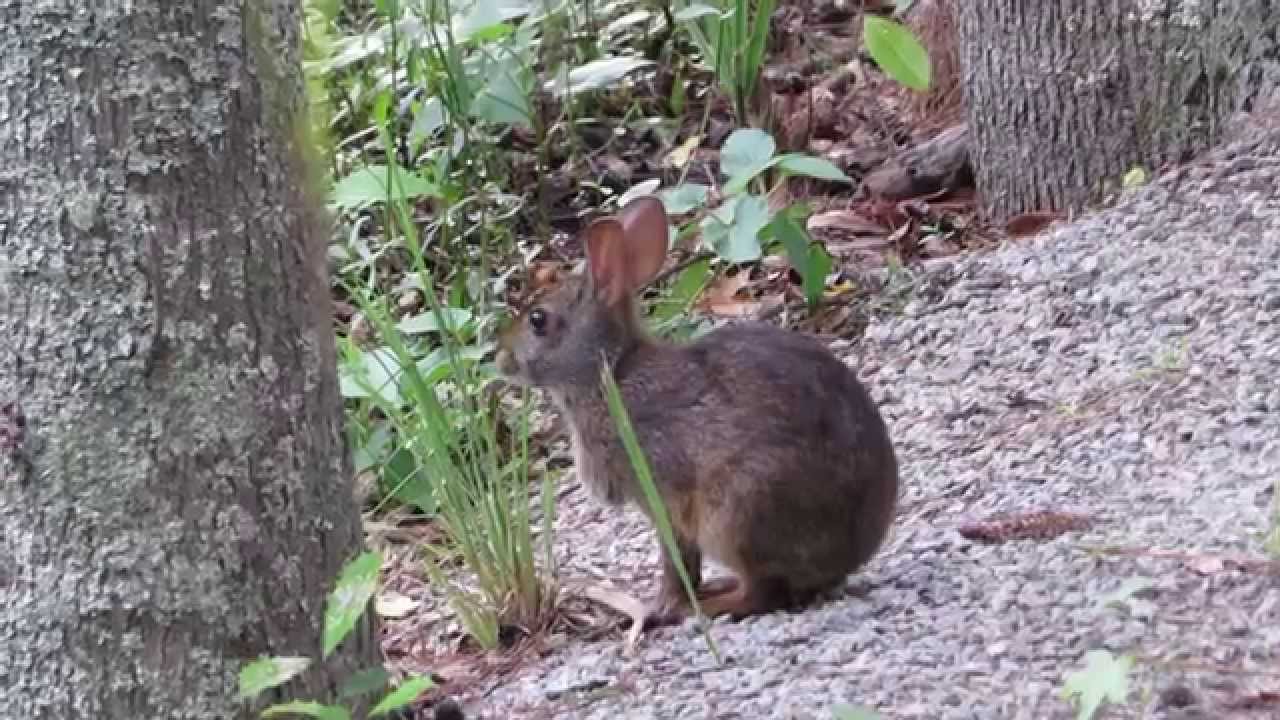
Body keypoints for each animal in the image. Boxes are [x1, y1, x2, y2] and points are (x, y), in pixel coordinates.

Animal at [496, 195, 899, 626]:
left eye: (538, 320)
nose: (500, 358)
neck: (609, 372)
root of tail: (850, 553)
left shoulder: (663, 498)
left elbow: (677, 560)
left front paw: (664, 606)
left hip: (737, 513)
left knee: (763, 592)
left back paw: (710, 606)